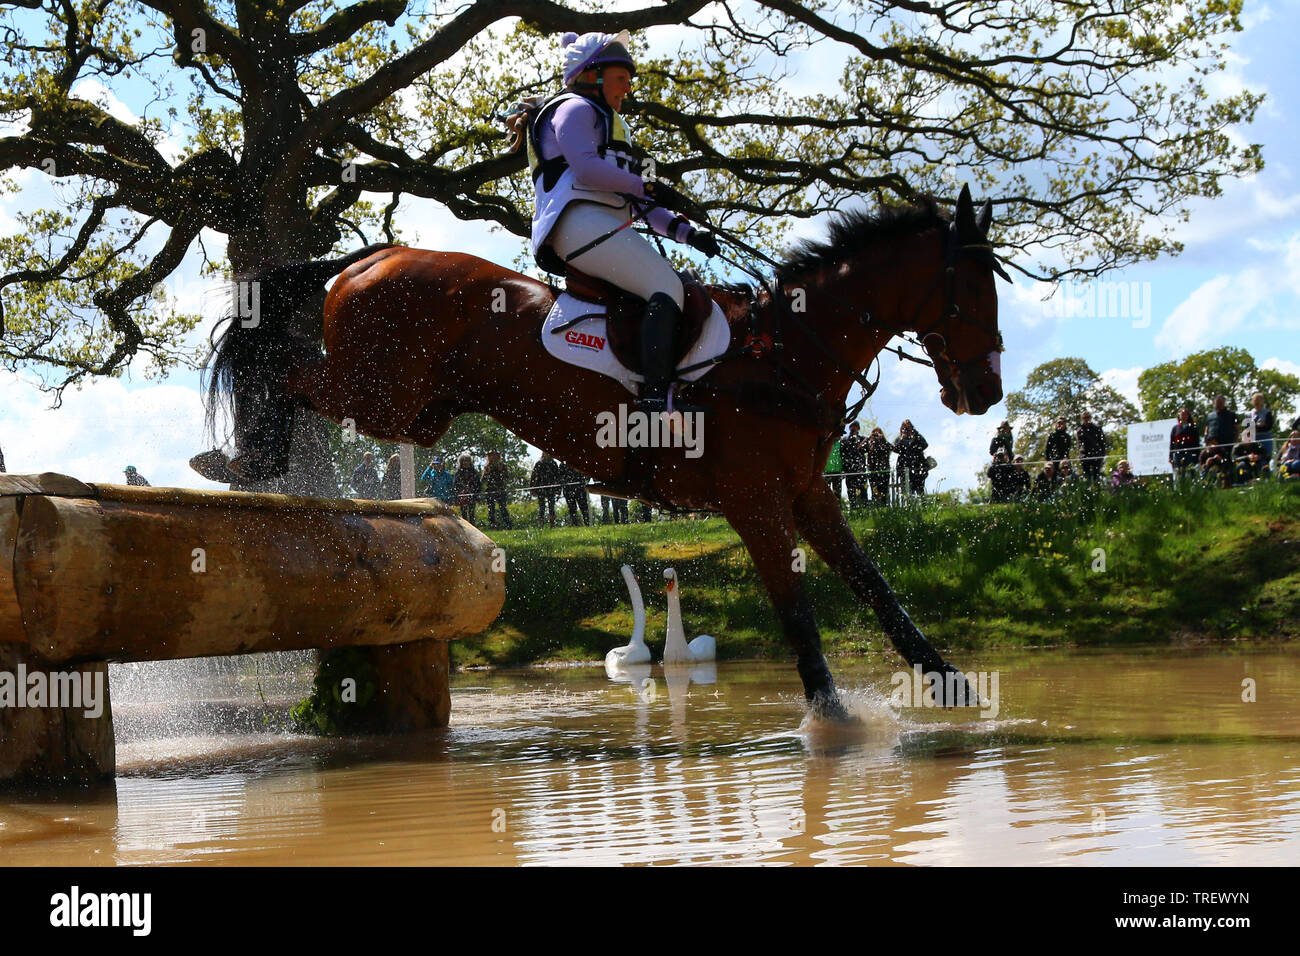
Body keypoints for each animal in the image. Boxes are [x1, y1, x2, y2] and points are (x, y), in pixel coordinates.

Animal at [200, 185, 1006, 719]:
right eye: (973, 289)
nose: (986, 392)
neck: (786, 353)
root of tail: (378, 257)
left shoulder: (807, 494)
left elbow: (876, 587)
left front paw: (948, 681)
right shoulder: (756, 503)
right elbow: (796, 608)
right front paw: (830, 721)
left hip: (421, 412)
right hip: (382, 394)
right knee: (282, 367)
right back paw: (242, 461)